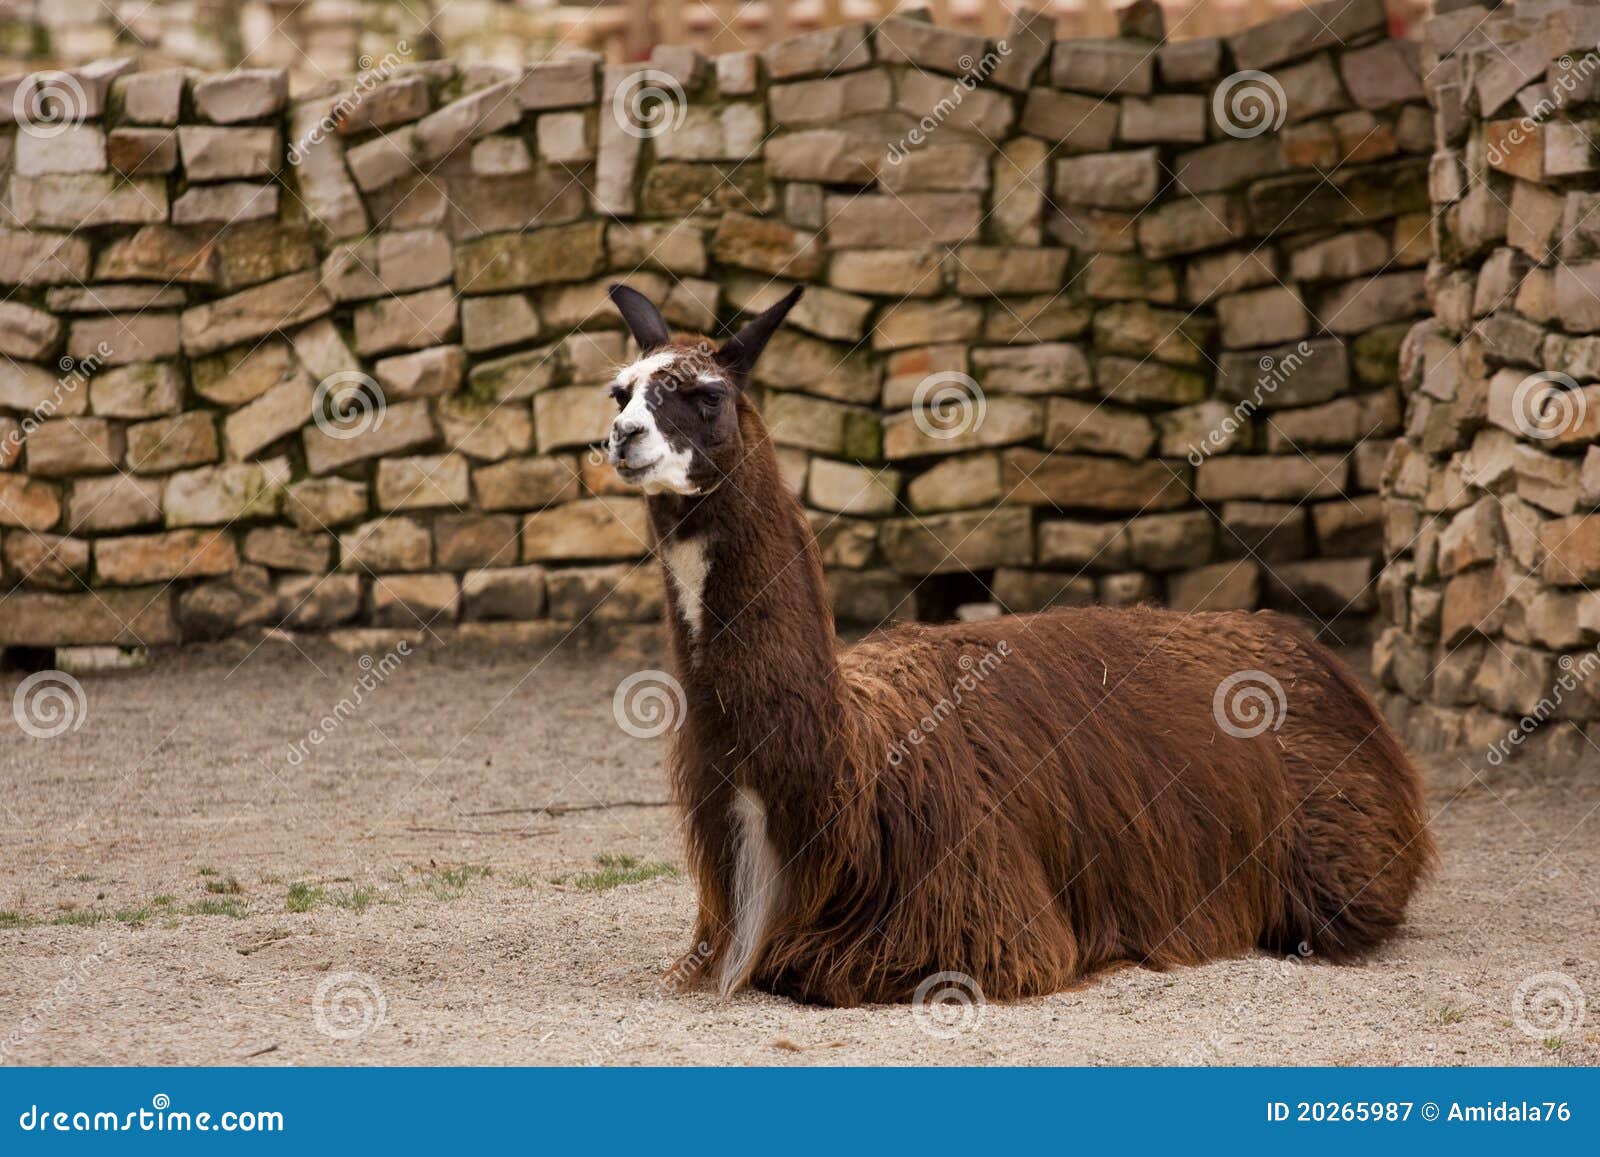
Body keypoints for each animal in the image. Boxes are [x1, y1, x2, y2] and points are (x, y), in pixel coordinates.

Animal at [602, 283, 1434, 1007]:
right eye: (621, 392)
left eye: (706, 394)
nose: (622, 438)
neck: (848, 766)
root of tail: (1294, 641)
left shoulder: (988, 925)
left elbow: (805, 966)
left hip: (1341, 856)